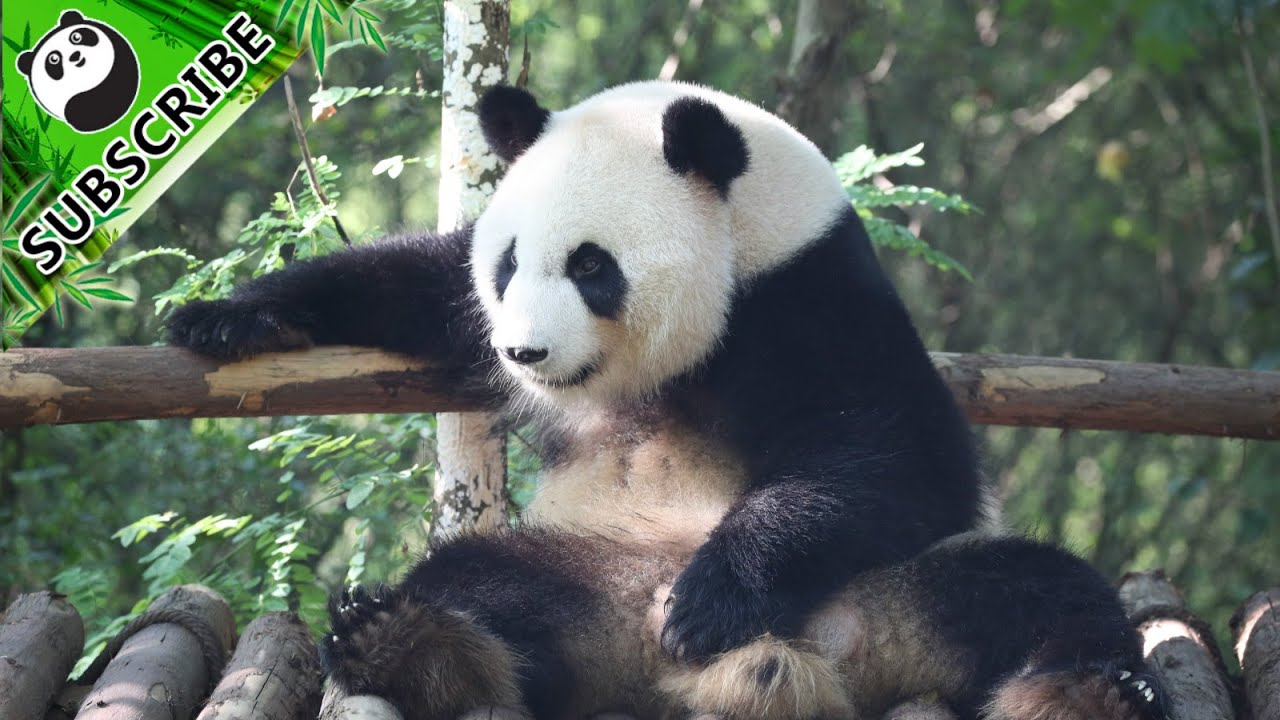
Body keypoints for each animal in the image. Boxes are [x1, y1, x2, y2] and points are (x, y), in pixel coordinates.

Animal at [167, 81, 1164, 720]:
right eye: (510, 264)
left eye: (591, 266)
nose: (522, 352)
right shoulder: (464, 305)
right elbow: (407, 281)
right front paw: (226, 317)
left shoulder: (811, 295)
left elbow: (907, 457)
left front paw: (715, 595)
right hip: (581, 574)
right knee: (477, 587)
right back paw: (409, 645)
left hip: (891, 592)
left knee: (1041, 596)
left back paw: (1091, 694)